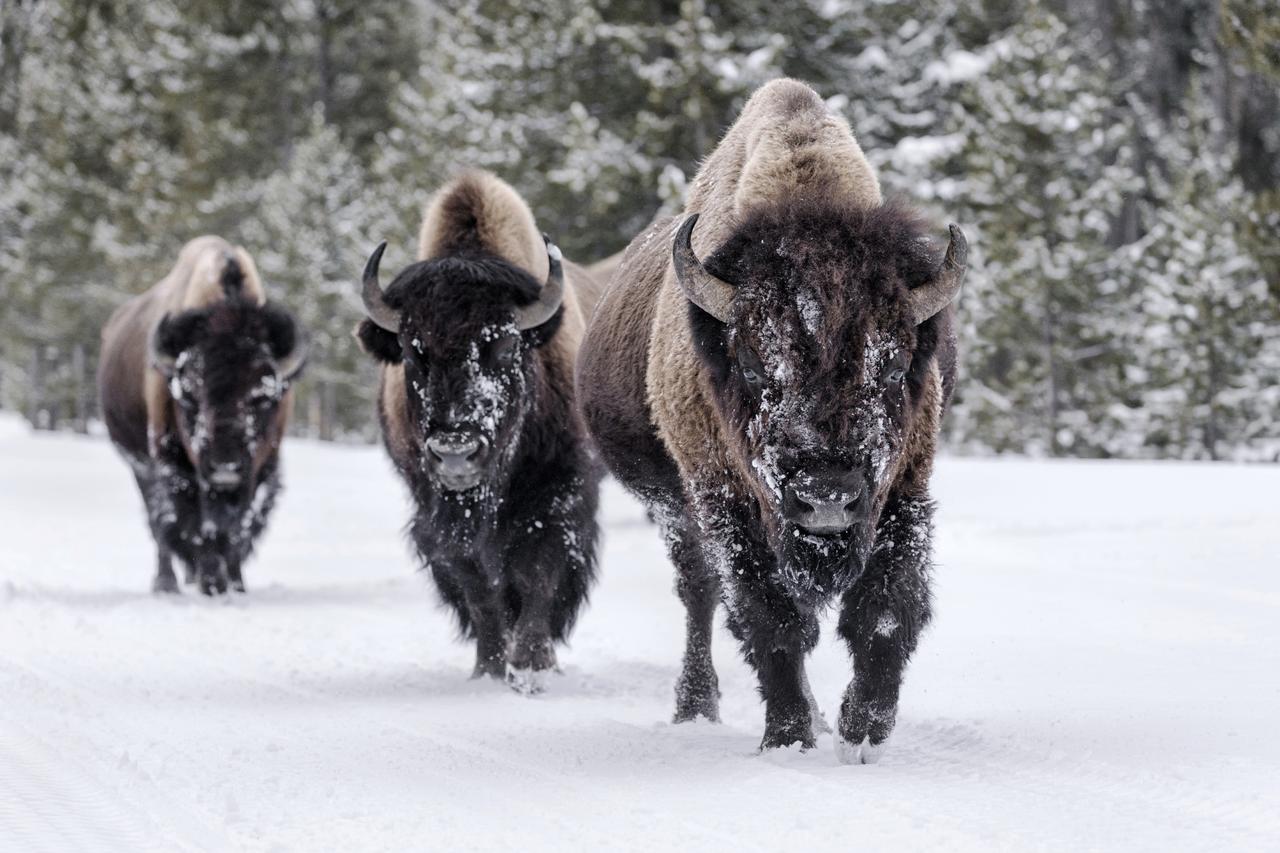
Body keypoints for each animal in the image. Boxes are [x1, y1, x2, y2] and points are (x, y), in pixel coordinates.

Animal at [98, 237, 307, 594]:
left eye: (264, 398)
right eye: (189, 397)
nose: (225, 467)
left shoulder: (260, 469)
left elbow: (238, 527)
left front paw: (234, 584)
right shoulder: (175, 465)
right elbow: (194, 524)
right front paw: (212, 582)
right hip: (138, 464)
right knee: (158, 522)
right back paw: (167, 583)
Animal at [578, 79, 967, 760]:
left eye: (894, 366)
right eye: (757, 366)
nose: (827, 495)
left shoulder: (903, 492)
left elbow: (886, 610)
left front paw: (861, 732)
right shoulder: (727, 503)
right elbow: (770, 617)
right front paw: (788, 736)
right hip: (673, 507)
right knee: (699, 593)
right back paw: (696, 706)